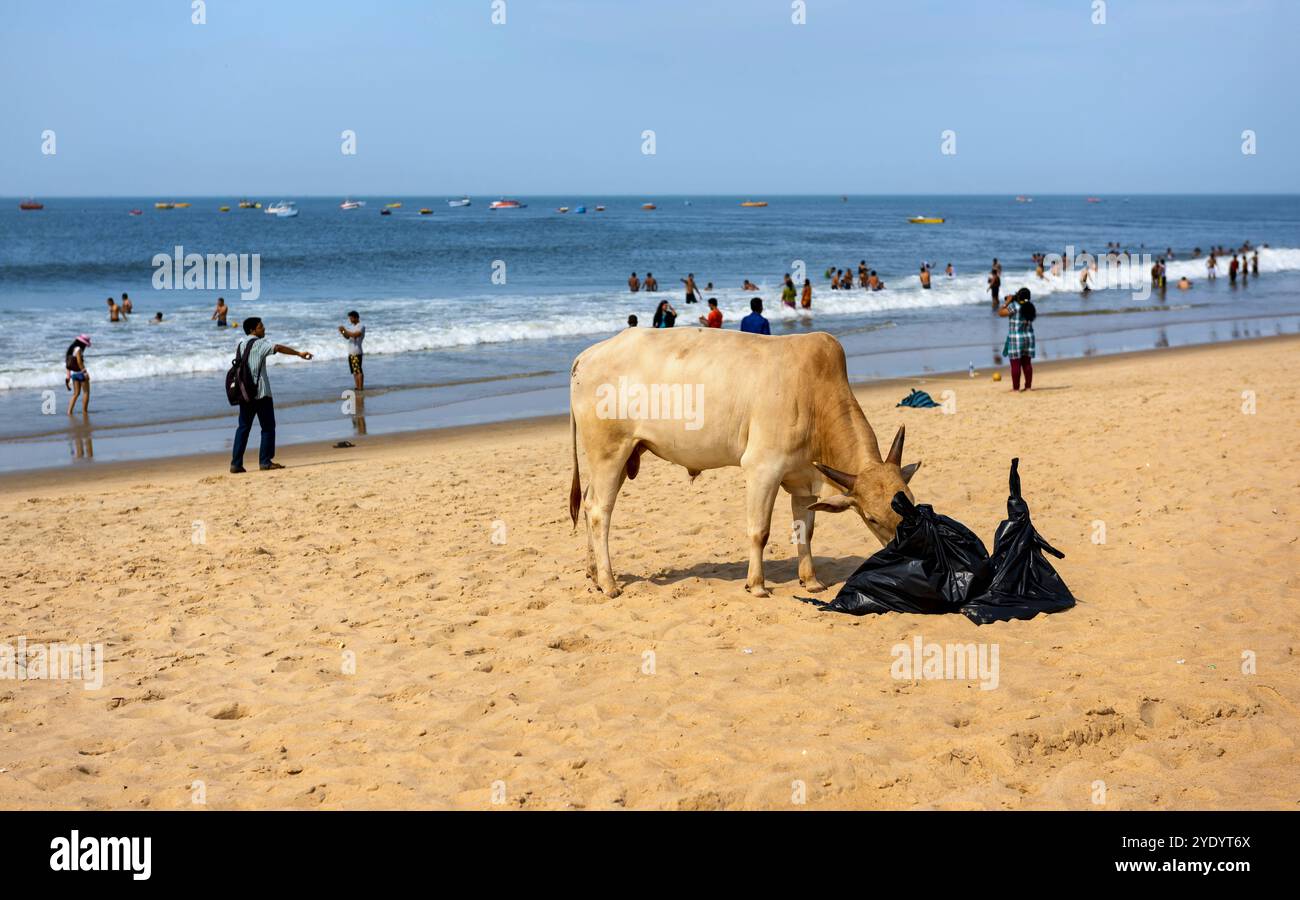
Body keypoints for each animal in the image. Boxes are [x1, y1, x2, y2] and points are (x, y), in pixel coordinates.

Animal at [568, 327, 920, 598]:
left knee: (588, 503)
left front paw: (811, 581)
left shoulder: (803, 482)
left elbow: (805, 532)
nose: (902, 553)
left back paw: (592, 572)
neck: (814, 396)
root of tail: (586, 356)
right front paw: (757, 584)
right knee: (599, 512)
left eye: (911, 506)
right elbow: (759, 531)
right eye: (872, 518)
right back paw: (608, 583)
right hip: (610, 453)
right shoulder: (763, 469)